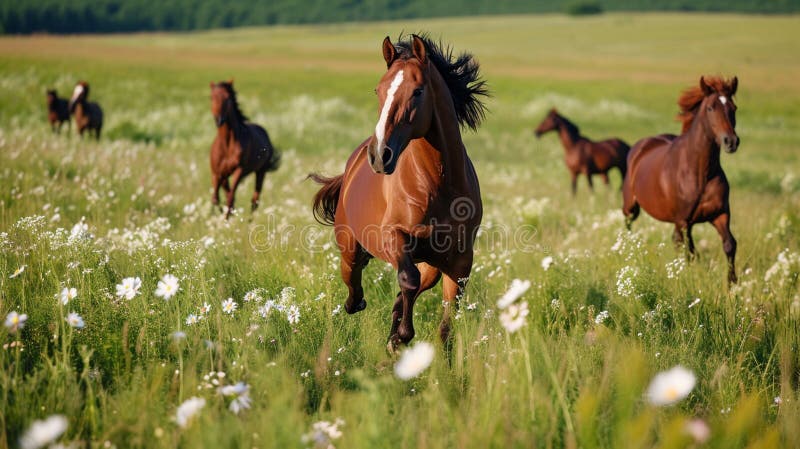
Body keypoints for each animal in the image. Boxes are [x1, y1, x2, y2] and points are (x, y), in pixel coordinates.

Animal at [209, 80, 280, 219]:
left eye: (227, 98)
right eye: (211, 97)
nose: (219, 120)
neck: (226, 145)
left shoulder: (239, 170)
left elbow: (230, 198)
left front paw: (225, 220)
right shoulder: (217, 174)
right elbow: (216, 198)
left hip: (261, 171)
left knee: (255, 200)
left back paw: (249, 220)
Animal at [310, 34, 488, 351]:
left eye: (417, 91)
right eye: (378, 89)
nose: (380, 155)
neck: (438, 184)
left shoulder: (460, 261)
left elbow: (446, 320)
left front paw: (408, 340)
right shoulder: (394, 235)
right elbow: (407, 279)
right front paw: (402, 335)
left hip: (433, 264)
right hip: (349, 246)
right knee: (354, 278)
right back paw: (357, 305)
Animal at [623, 76, 739, 284]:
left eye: (734, 107)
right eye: (710, 108)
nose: (731, 142)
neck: (701, 173)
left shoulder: (719, 214)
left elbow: (729, 244)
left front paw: (732, 283)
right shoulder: (683, 220)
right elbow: (689, 252)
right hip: (631, 208)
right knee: (629, 227)